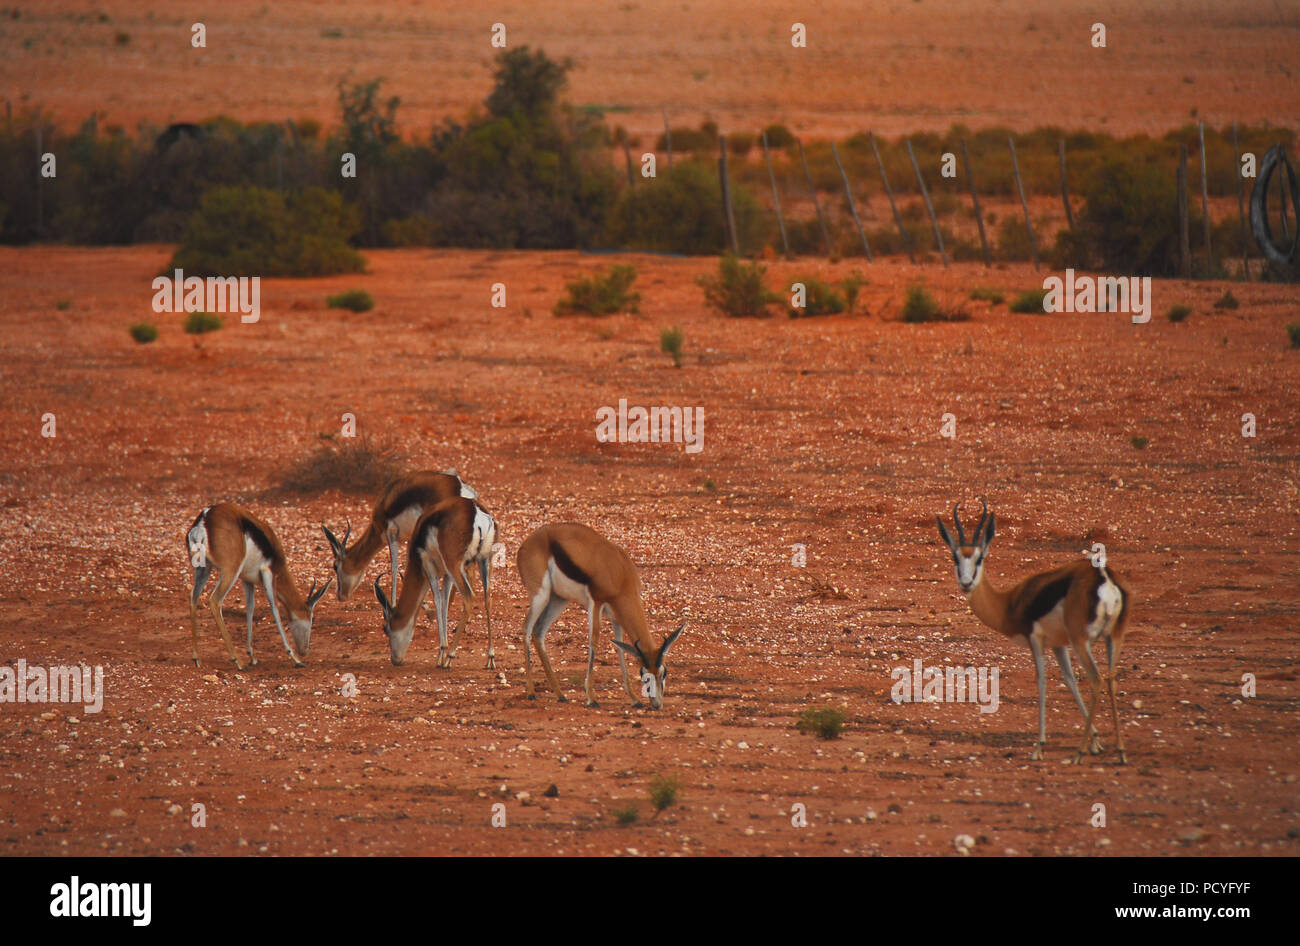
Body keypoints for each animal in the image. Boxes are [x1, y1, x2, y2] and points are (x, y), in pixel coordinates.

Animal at [185, 503, 333, 669]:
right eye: (311, 619)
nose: (305, 651)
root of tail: (204, 519)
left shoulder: (247, 580)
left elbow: (250, 609)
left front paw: (252, 656)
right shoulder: (269, 575)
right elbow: (275, 610)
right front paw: (295, 659)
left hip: (203, 569)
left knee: (193, 598)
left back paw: (197, 658)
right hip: (230, 571)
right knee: (214, 601)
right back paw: (238, 661)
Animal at [322, 469, 478, 601]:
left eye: (335, 566)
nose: (340, 596)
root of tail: (461, 487)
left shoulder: (391, 534)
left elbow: (394, 567)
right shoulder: (410, 537)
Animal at [373, 497, 497, 669]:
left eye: (386, 629)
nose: (395, 660)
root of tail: (476, 510)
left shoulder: (428, 566)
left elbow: (438, 601)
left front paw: (442, 654)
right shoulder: (447, 575)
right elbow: (444, 601)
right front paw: (442, 653)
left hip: (456, 565)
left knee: (469, 597)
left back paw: (450, 657)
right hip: (484, 560)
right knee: (488, 599)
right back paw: (490, 658)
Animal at [517, 522, 685, 710]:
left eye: (664, 672)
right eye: (643, 674)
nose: (656, 704)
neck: (620, 574)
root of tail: (529, 541)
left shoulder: (616, 617)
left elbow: (620, 648)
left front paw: (634, 699)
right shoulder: (596, 603)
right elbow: (594, 642)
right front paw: (591, 698)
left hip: (558, 599)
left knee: (538, 631)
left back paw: (560, 695)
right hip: (541, 595)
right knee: (526, 627)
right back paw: (531, 692)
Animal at [936, 499, 1132, 764]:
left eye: (979, 558)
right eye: (955, 558)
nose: (966, 584)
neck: (1009, 603)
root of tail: (1102, 577)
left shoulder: (1036, 639)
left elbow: (1041, 682)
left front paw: (1039, 747)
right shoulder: (1059, 644)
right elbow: (1069, 680)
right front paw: (1096, 742)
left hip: (1081, 641)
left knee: (1096, 679)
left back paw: (1078, 753)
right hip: (1113, 637)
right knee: (1111, 679)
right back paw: (1120, 751)